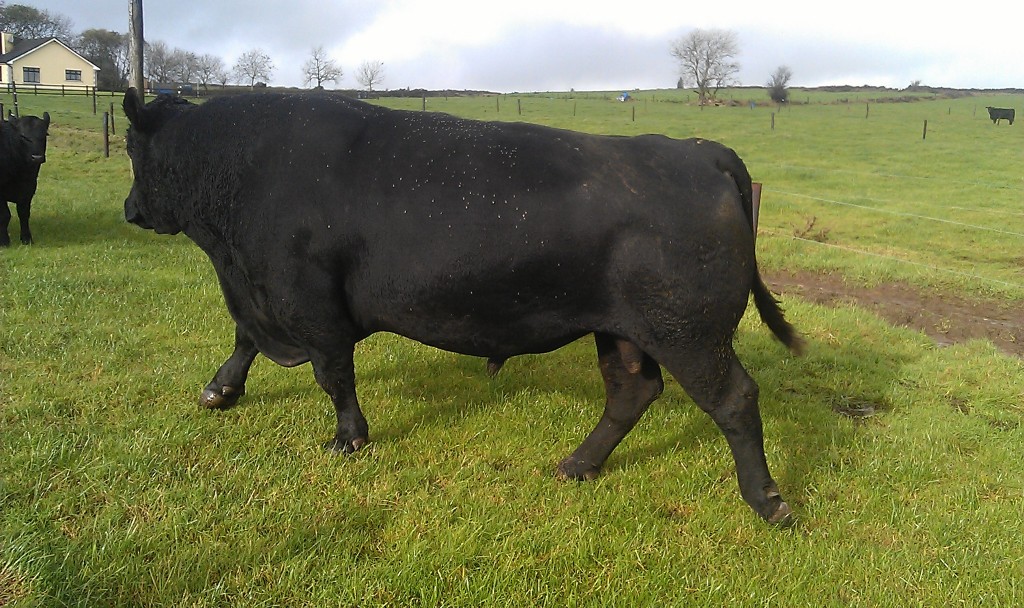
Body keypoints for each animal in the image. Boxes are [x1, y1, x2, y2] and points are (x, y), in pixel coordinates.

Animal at [0, 111, 50, 246]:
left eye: (45, 134)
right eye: (22, 136)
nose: (37, 157)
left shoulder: (29, 189)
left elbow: (24, 213)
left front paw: (27, 239)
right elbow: (5, 215)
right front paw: (4, 241)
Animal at [122, 88, 803, 523]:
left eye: (132, 148)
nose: (129, 209)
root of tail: (695, 148)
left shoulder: (306, 300)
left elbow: (332, 374)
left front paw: (348, 440)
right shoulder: (264, 295)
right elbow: (244, 337)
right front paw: (220, 391)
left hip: (692, 332)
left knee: (733, 399)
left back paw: (767, 501)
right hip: (623, 330)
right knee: (632, 390)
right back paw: (577, 465)